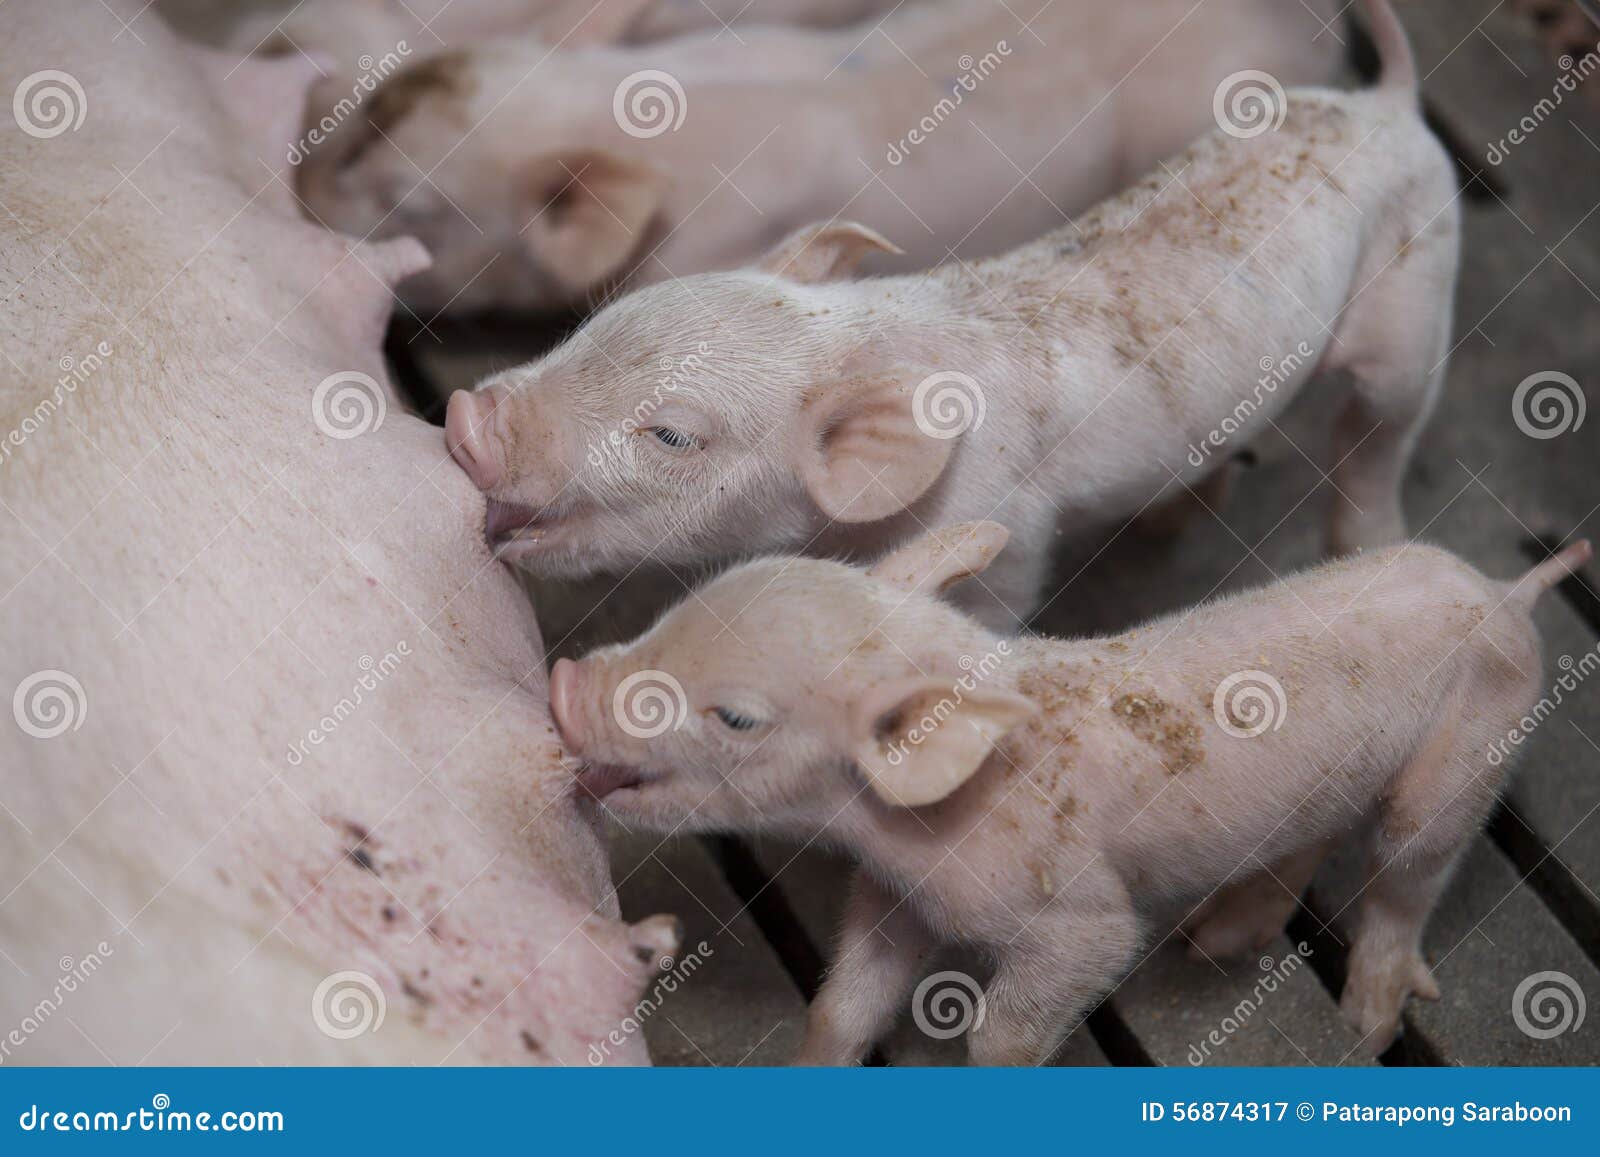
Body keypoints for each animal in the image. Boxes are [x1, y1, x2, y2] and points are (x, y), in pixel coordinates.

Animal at [446, 0, 1458, 634]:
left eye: (672, 435)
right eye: (594, 330)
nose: (466, 417)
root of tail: (1390, 101)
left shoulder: (1011, 524)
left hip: (1418, 299)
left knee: (1385, 425)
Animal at [546, 521, 1594, 1063]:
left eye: (737, 718)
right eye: (670, 616)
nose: (563, 681)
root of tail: (1507, 590)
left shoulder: (1076, 917)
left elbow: (1020, 1018)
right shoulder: (897, 891)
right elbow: (843, 1006)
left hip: (1470, 753)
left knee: (1407, 874)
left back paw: (1365, 1021)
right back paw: (1219, 939)